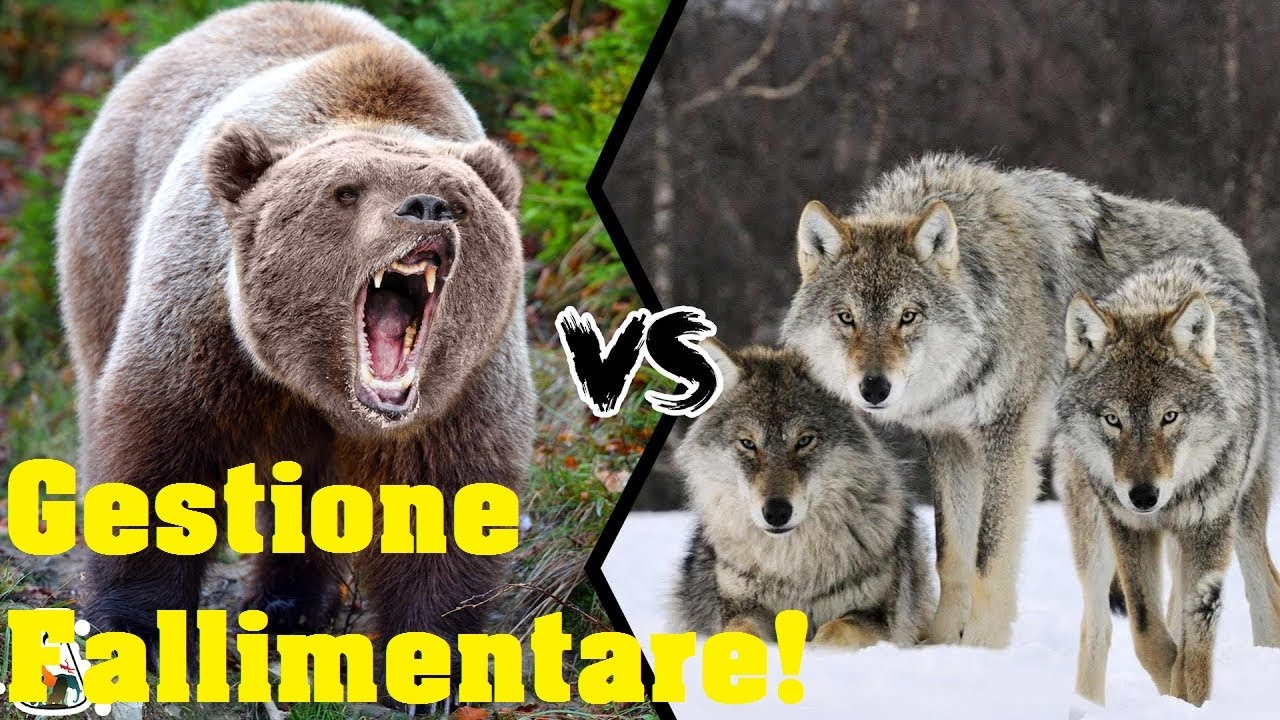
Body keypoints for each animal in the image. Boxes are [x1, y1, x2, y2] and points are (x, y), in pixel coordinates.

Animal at [54, 0, 534, 705]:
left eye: (462, 202)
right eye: (347, 191)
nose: (427, 206)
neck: (319, 382)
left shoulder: (460, 385)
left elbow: (444, 499)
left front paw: (425, 667)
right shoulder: (209, 335)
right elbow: (157, 458)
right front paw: (134, 631)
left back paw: (289, 607)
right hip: (108, 235)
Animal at [673, 342, 933, 648]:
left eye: (805, 441)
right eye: (748, 443)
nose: (776, 512)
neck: (792, 567)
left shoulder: (876, 618)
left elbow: (834, 631)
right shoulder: (741, 608)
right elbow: (740, 632)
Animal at [781, 153, 1264, 647]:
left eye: (908, 316)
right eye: (847, 318)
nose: (874, 388)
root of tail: (1227, 240)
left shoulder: (1007, 437)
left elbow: (989, 557)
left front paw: (982, 646)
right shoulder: (950, 442)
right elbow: (951, 555)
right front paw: (941, 643)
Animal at [1057, 257, 1280, 706]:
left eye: (1169, 417)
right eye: (1113, 419)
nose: (1143, 496)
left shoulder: (1208, 531)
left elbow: (1194, 654)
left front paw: (1187, 699)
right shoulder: (1128, 528)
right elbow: (1148, 635)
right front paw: (1170, 692)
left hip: (1243, 522)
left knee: (1266, 595)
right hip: (1093, 536)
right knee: (1098, 626)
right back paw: (1085, 707)